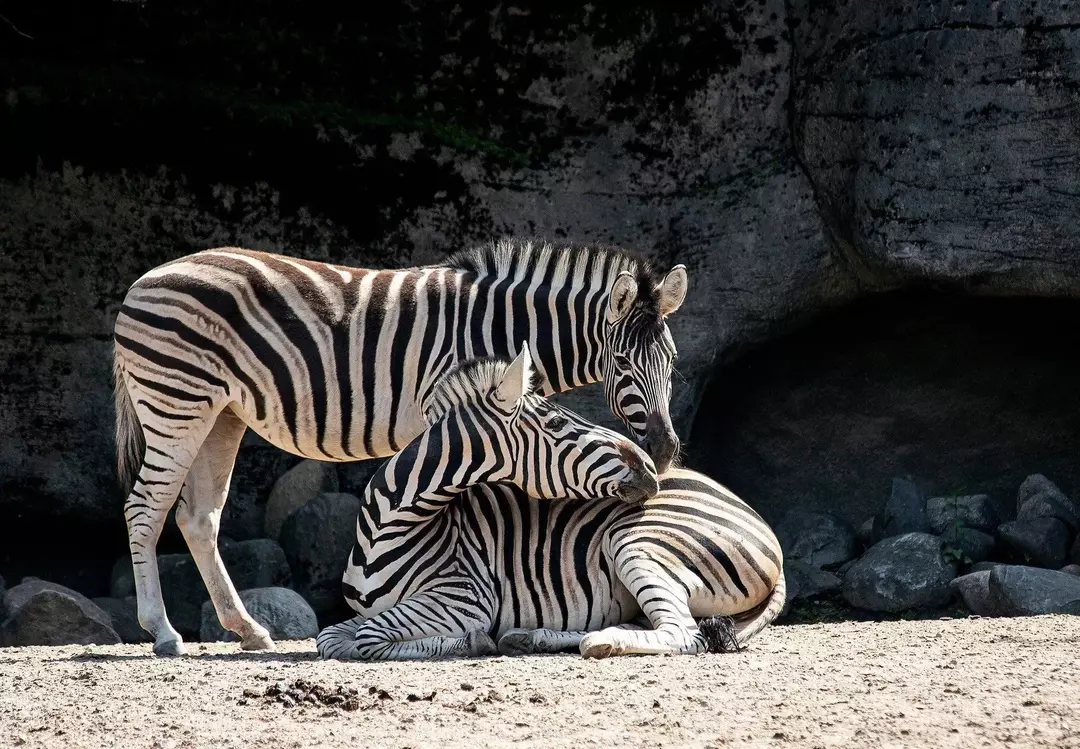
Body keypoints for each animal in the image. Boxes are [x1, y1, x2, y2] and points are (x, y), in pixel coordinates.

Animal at [109, 237, 682, 656]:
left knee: (198, 517)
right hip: (177, 401)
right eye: (623, 364)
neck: (502, 324)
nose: (664, 451)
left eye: (672, 361)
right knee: (145, 508)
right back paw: (163, 632)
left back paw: (248, 630)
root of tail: (142, 282)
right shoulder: (449, 407)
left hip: (221, 413)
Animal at [317, 349, 786, 660]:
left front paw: (472, 640)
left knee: (684, 634)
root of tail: (760, 522)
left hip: (638, 543)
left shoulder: (464, 598)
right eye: (559, 422)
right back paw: (531, 636)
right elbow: (331, 639)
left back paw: (597, 642)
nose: (652, 469)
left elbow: (367, 640)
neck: (389, 526)